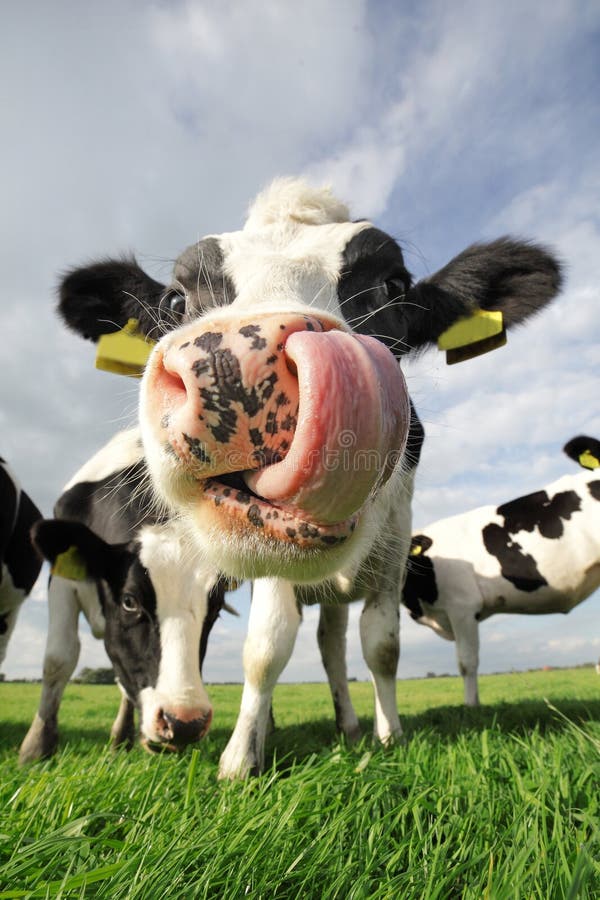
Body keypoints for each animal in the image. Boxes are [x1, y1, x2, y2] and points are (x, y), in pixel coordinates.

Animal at [18, 428, 230, 763]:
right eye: (130, 601)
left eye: (216, 609)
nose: (184, 723)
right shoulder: (62, 579)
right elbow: (59, 658)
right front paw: (36, 747)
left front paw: (125, 737)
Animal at [55, 177, 562, 776]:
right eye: (177, 300)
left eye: (392, 285)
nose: (236, 364)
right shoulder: (269, 556)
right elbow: (265, 647)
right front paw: (240, 759)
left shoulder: (395, 542)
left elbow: (380, 645)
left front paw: (389, 734)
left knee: (333, 643)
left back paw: (348, 724)